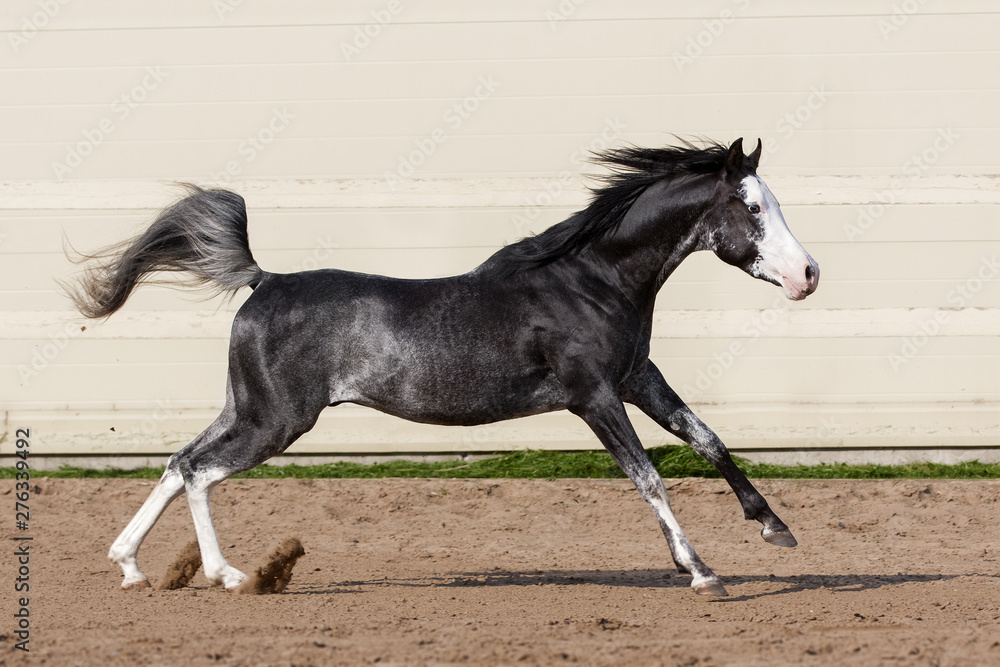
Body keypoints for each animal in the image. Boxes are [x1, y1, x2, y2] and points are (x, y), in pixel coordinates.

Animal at [67, 138, 819, 597]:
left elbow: (709, 441)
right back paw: (228, 574)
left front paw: (775, 528)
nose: (808, 275)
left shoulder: (639, 378)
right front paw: (701, 571)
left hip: (246, 409)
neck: (590, 280)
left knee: (177, 460)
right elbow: (650, 477)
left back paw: (130, 566)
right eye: (752, 206)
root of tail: (265, 279)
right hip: (276, 421)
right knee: (199, 470)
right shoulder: (595, 396)